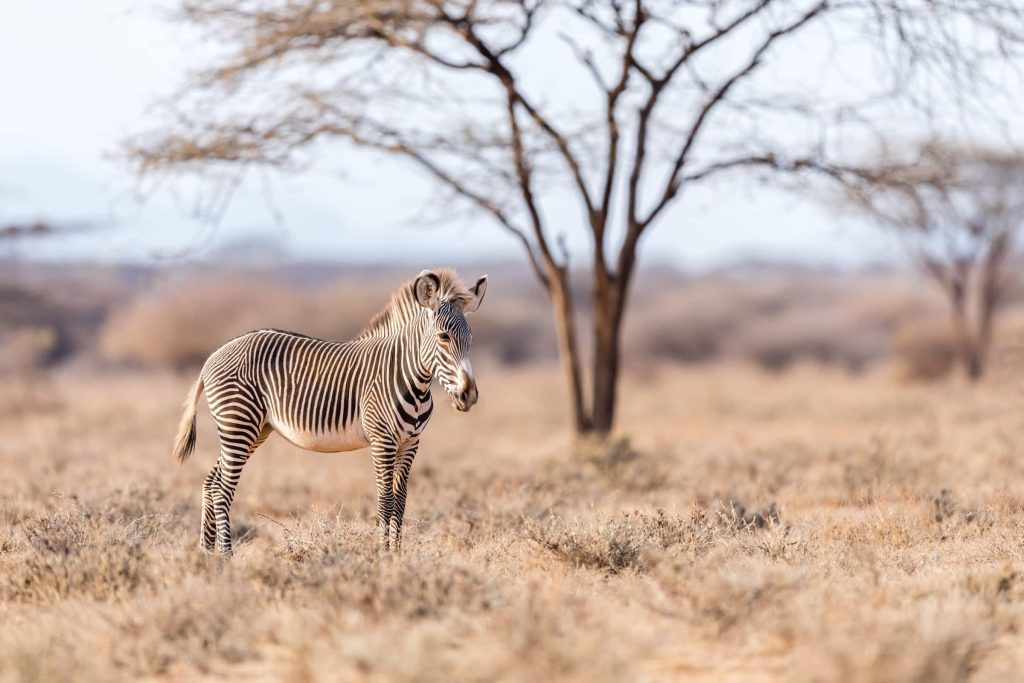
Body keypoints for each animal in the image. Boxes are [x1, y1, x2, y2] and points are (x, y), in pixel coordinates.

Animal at [171, 268, 487, 554]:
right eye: (444, 337)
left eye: (471, 339)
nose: (468, 395)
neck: (412, 379)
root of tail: (213, 356)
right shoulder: (383, 441)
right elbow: (385, 500)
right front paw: (383, 555)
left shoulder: (410, 442)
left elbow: (400, 500)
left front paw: (398, 555)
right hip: (238, 424)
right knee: (223, 488)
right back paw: (227, 556)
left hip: (254, 429)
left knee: (211, 481)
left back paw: (208, 553)